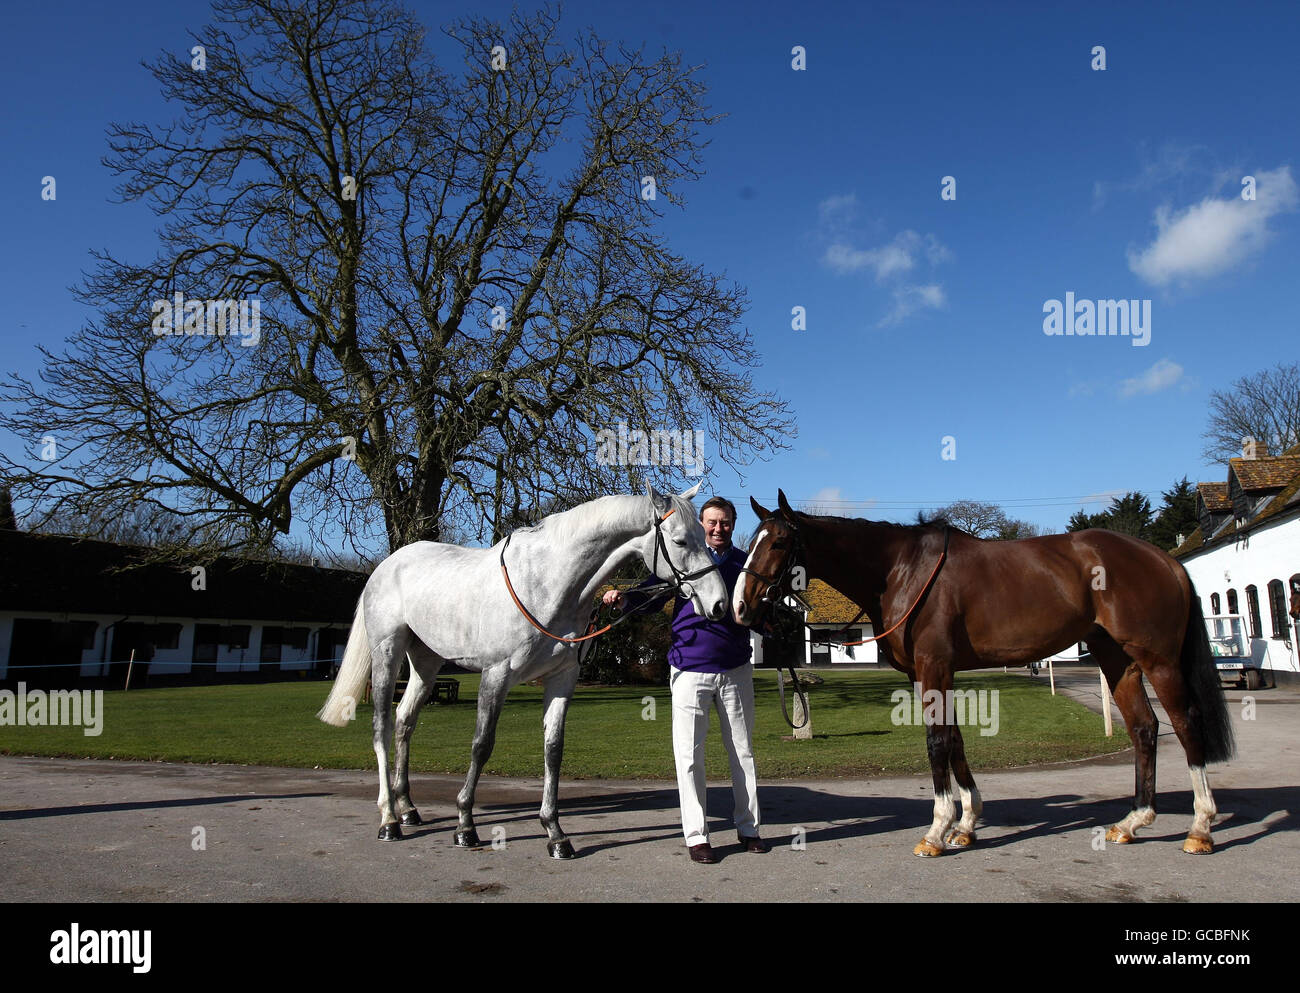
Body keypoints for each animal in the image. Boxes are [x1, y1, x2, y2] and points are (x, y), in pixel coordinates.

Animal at [318, 482, 730, 858]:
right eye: (680, 541)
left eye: (705, 536)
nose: (719, 604)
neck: (548, 585)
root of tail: (386, 565)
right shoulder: (496, 675)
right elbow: (482, 745)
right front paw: (465, 825)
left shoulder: (563, 678)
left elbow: (553, 748)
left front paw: (555, 833)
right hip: (387, 652)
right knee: (382, 726)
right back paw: (389, 818)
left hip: (426, 662)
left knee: (405, 722)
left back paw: (408, 808)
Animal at [734, 490, 1236, 857]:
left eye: (778, 542)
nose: (741, 607)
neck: (901, 570)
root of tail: (1164, 559)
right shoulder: (930, 674)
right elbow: (955, 740)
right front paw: (967, 824)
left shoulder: (935, 667)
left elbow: (937, 742)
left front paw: (936, 831)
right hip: (1117, 660)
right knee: (1144, 728)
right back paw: (1134, 821)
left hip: (1158, 661)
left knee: (1186, 724)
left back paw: (1200, 827)